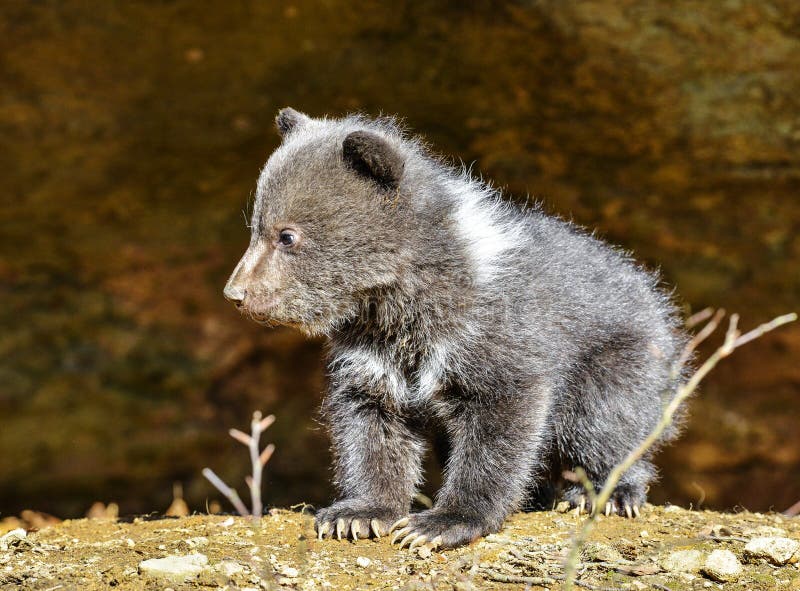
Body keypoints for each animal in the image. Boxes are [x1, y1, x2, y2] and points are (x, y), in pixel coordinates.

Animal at [223, 107, 688, 549]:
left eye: (286, 235)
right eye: (254, 227)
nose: (236, 293)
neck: (402, 303)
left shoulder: (491, 336)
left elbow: (501, 426)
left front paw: (442, 522)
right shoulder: (372, 354)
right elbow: (369, 421)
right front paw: (356, 514)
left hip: (618, 358)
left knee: (608, 424)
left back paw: (610, 493)